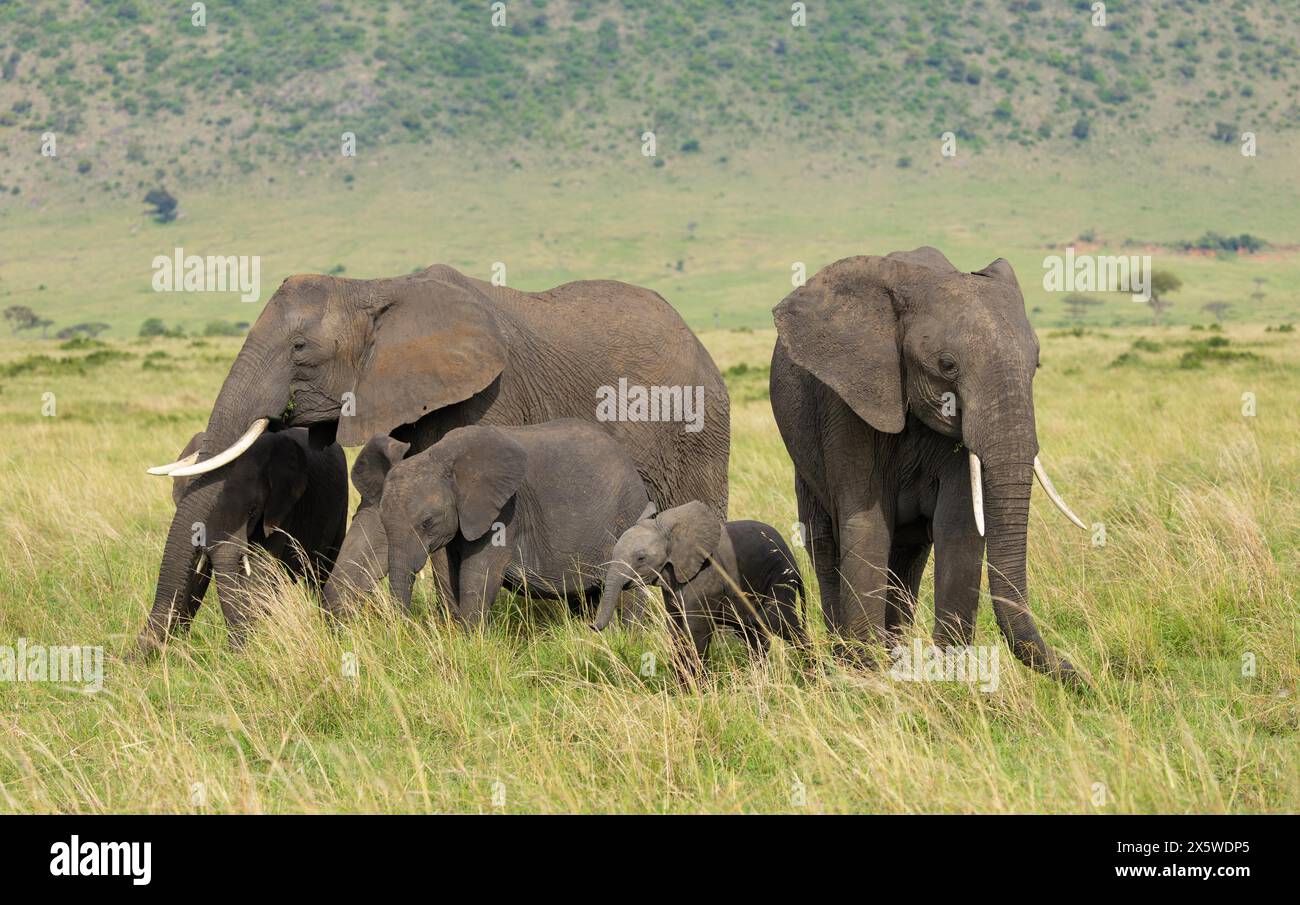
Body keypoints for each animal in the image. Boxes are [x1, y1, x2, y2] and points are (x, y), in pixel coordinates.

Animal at [380, 419, 653, 625]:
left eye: (427, 522)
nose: (405, 629)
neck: (441, 457)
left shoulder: (506, 512)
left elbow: (480, 580)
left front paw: (473, 643)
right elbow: (448, 576)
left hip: (629, 512)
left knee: (629, 592)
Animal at [594, 502, 805, 679]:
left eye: (641, 558)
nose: (592, 627)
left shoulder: (705, 577)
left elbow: (696, 628)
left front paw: (698, 688)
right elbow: (676, 628)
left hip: (780, 575)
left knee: (782, 622)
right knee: (753, 633)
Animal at [768, 247, 1086, 682]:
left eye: (1036, 364)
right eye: (947, 365)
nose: (1081, 675)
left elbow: (960, 524)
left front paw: (950, 674)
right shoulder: (848, 402)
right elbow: (865, 523)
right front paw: (867, 675)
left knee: (909, 553)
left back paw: (896, 653)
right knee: (824, 540)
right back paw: (843, 656)